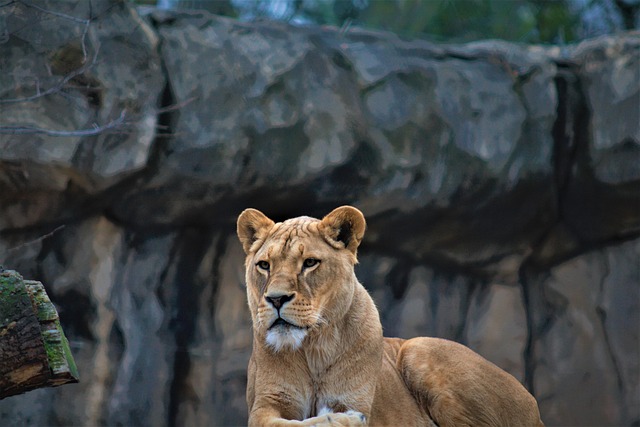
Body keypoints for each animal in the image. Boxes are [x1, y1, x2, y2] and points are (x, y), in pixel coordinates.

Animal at [237, 206, 544, 427]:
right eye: (264, 265)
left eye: (310, 262)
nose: (276, 299)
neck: (314, 349)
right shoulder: (266, 405)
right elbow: (287, 424)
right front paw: (339, 419)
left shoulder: (357, 399)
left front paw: (346, 418)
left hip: (418, 347)